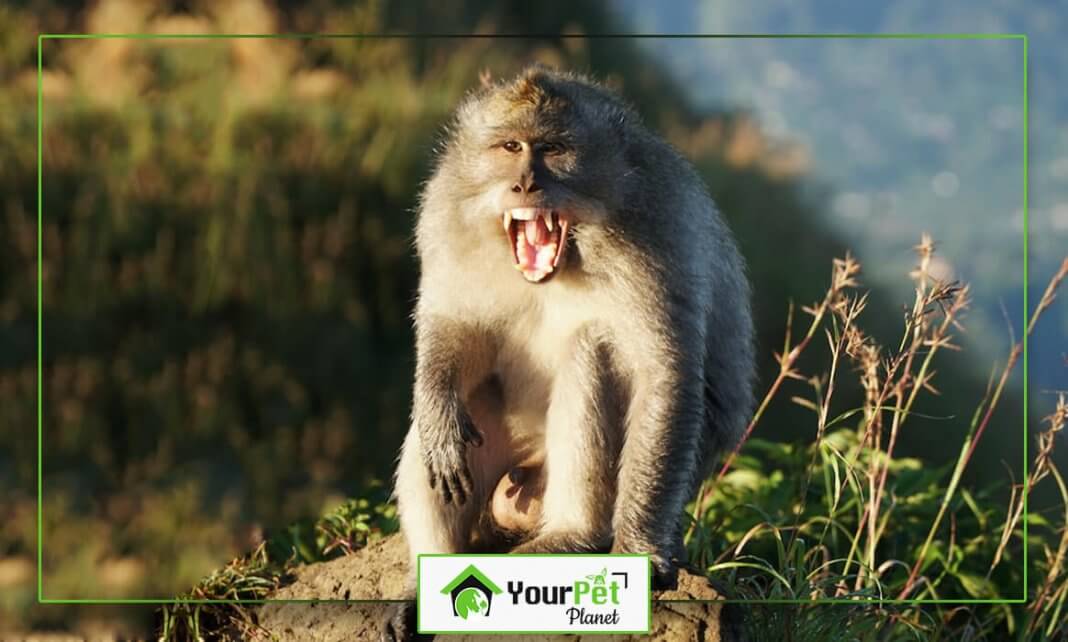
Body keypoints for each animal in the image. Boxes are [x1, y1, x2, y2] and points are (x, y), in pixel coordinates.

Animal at [383, 65, 755, 641]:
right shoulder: (444, 216)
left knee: (591, 349)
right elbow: (457, 327)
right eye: (511, 146)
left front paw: (640, 551)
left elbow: (662, 378)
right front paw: (438, 406)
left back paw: (573, 535)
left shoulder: (657, 233)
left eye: (553, 149)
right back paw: (426, 583)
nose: (525, 183)